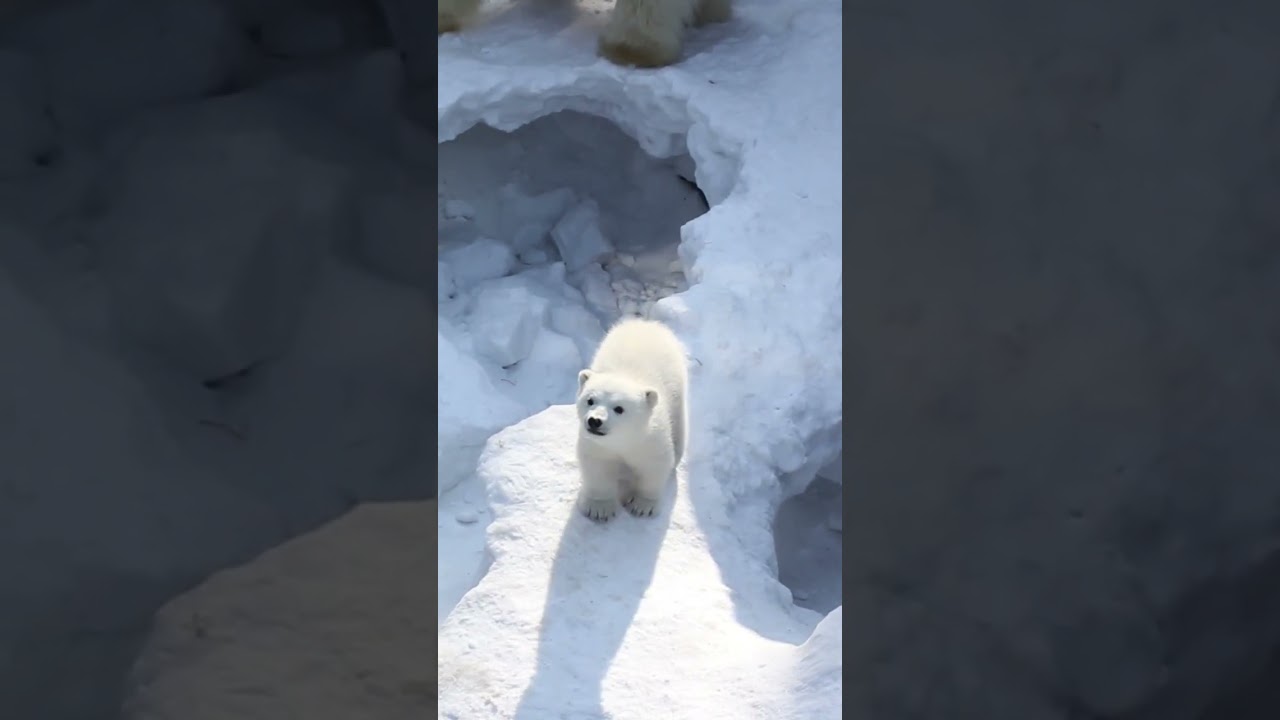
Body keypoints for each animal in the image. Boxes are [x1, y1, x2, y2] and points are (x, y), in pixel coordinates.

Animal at [574, 317, 689, 521]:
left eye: (619, 408)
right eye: (590, 400)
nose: (595, 421)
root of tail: (644, 323)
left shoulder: (650, 438)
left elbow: (655, 465)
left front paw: (643, 506)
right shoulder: (596, 444)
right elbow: (597, 466)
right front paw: (599, 508)